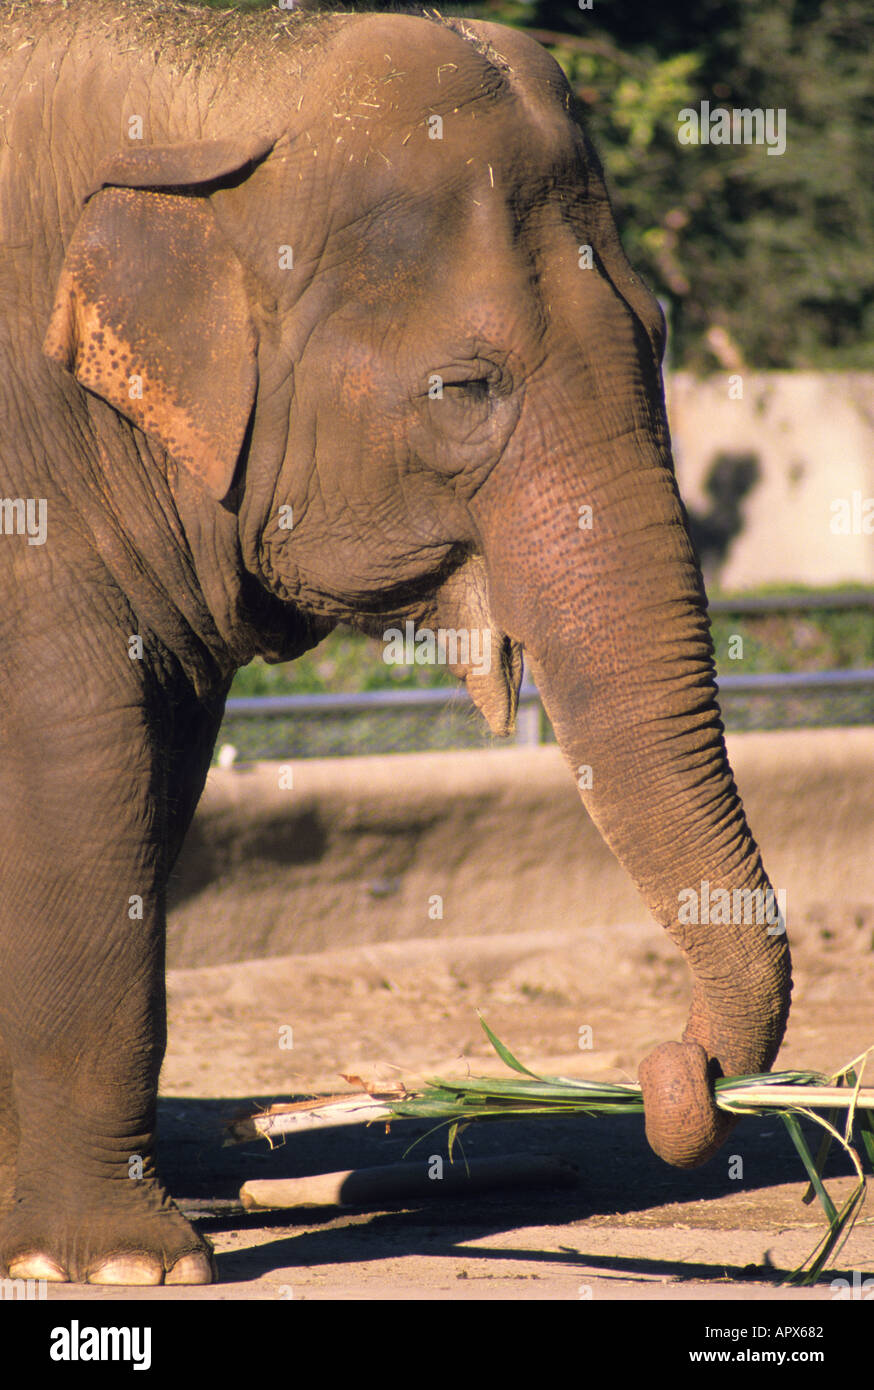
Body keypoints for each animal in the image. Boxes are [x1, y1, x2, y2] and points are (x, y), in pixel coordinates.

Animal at [0, 0, 791, 1285]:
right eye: (464, 387)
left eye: (663, 327)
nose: (681, 1070)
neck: (217, 85)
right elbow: (80, 764)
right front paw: (121, 1265)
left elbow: (154, 769)